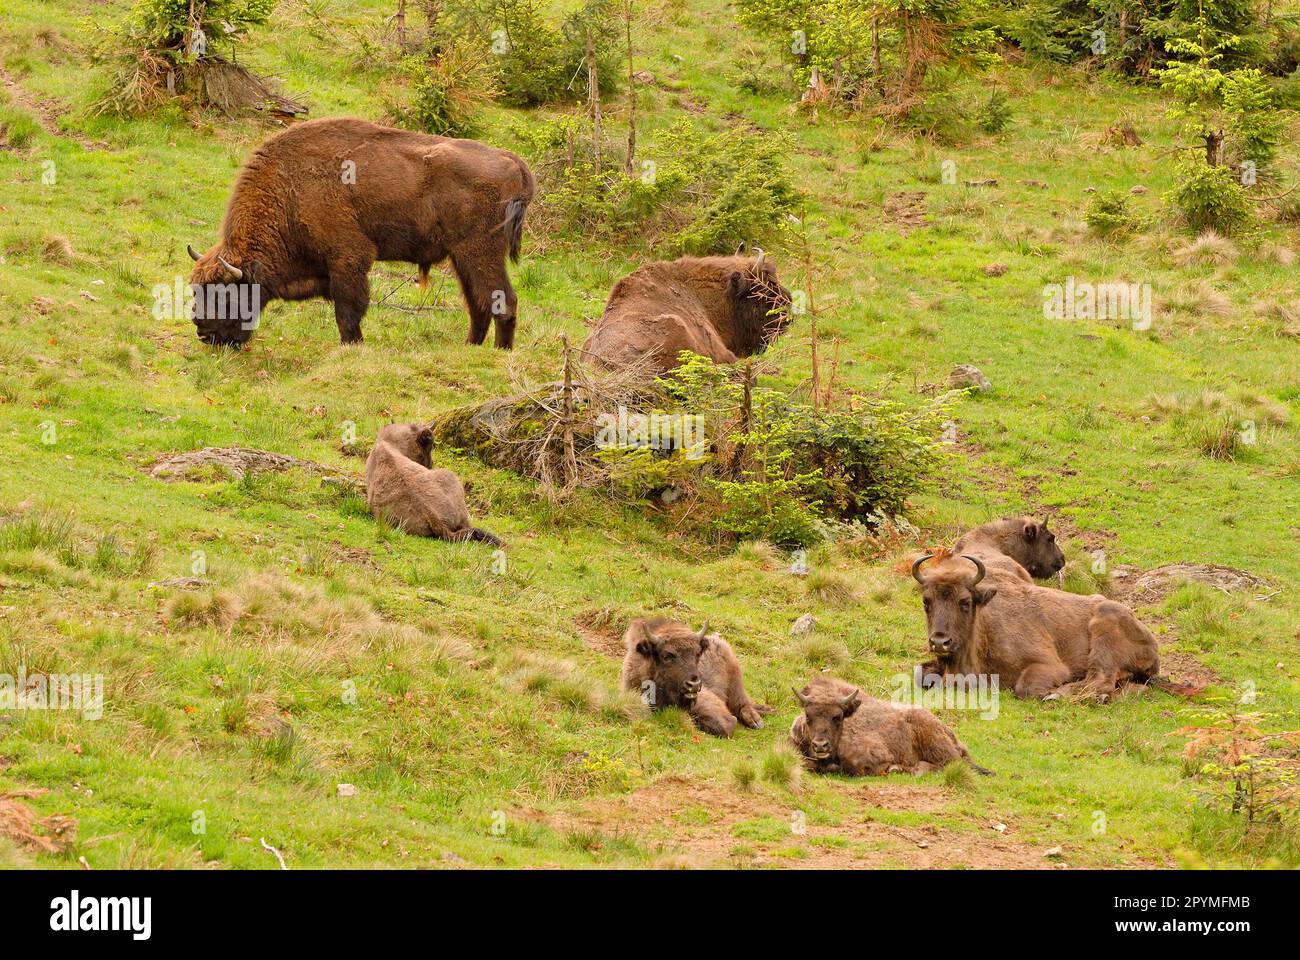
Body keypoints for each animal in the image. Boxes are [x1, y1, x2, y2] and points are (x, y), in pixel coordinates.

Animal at [187, 117, 535, 348]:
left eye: (225, 294)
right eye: (196, 291)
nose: (204, 333)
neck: (288, 191)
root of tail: (510, 160)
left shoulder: (349, 259)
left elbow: (348, 312)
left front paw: (352, 346)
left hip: (480, 252)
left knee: (503, 301)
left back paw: (500, 352)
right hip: (461, 257)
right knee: (478, 304)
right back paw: (470, 347)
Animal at [619, 617, 768, 737]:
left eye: (697, 654)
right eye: (666, 656)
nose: (694, 684)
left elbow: (725, 724)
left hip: (736, 686)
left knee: (743, 704)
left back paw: (756, 721)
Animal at [912, 551, 1159, 700]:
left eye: (965, 602)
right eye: (926, 601)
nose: (940, 642)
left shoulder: (1049, 665)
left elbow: (1026, 687)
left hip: (1104, 625)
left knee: (1099, 680)